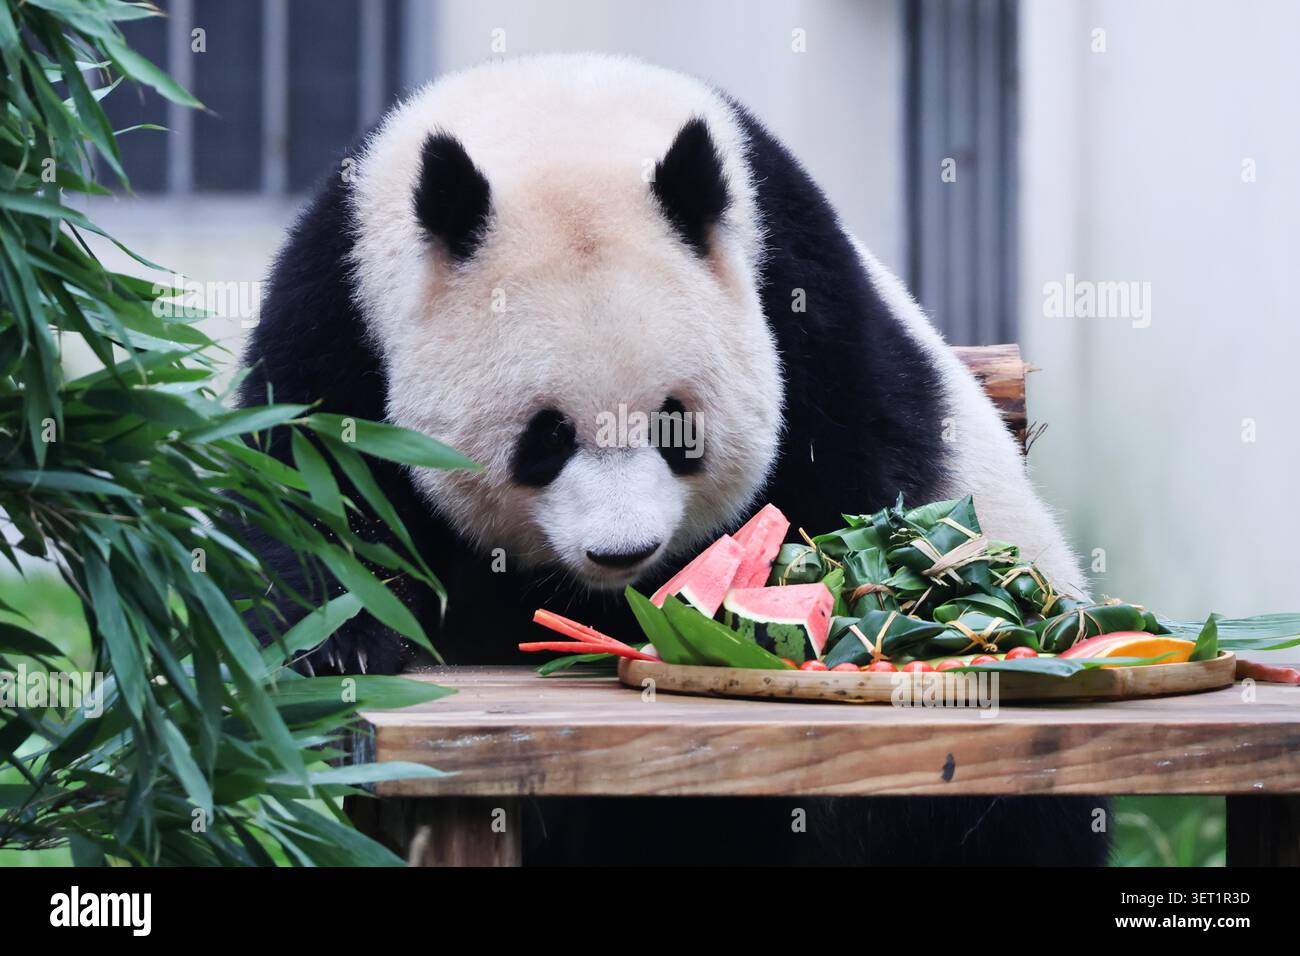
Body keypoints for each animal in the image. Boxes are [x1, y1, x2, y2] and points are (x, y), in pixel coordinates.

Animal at [240, 53, 1108, 866]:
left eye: (675, 428)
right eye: (546, 438)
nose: (622, 552)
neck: (563, 122)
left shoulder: (798, 295)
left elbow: (861, 473)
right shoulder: (342, 298)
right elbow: (295, 480)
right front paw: (344, 636)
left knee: (1009, 825)